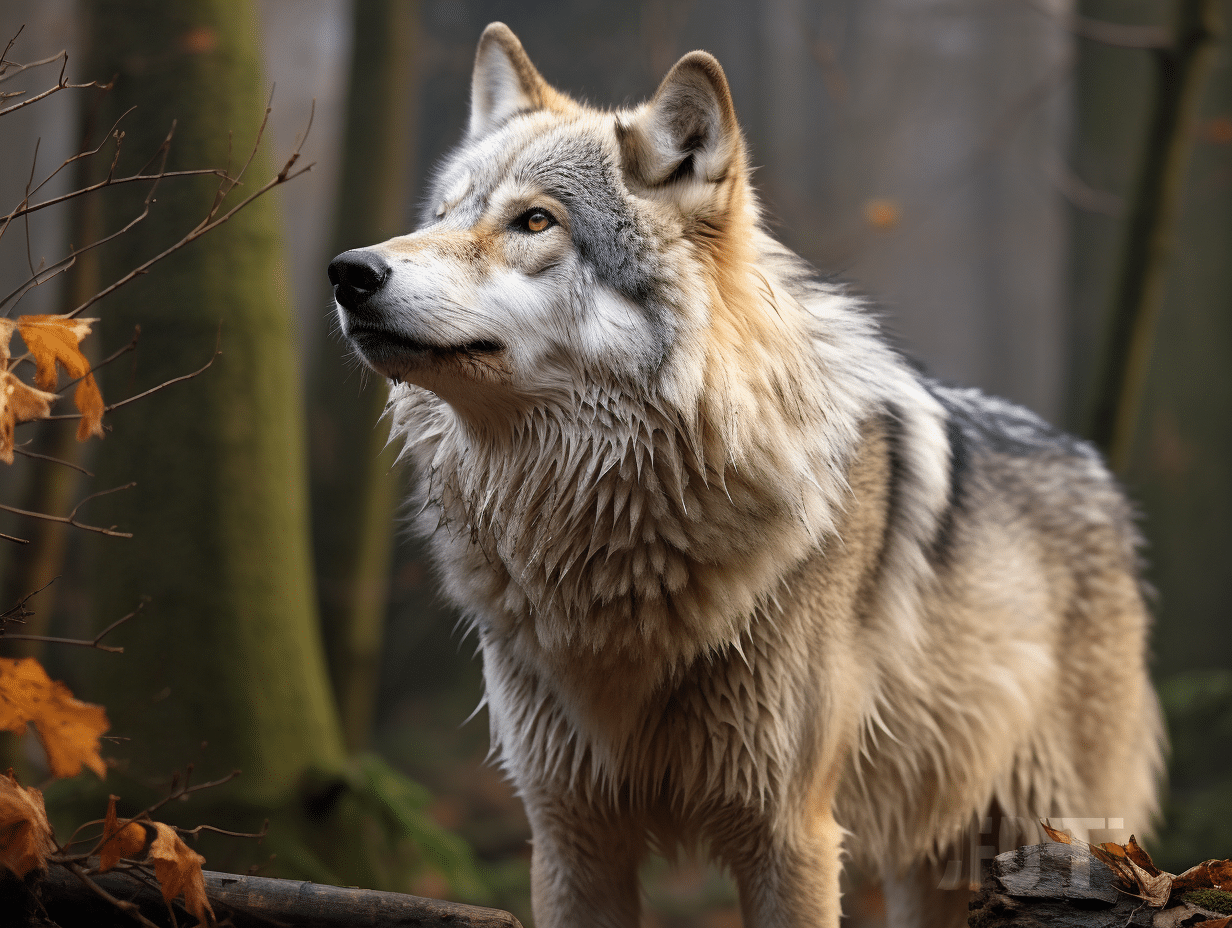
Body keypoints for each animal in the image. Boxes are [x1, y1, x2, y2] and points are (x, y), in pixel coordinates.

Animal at [328, 23, 1164, 928]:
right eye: (442, 216)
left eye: (534, 220)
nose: (349, 272)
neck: (612, 555)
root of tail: (1101, 475)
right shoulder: (569, 832)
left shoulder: (789, 833)